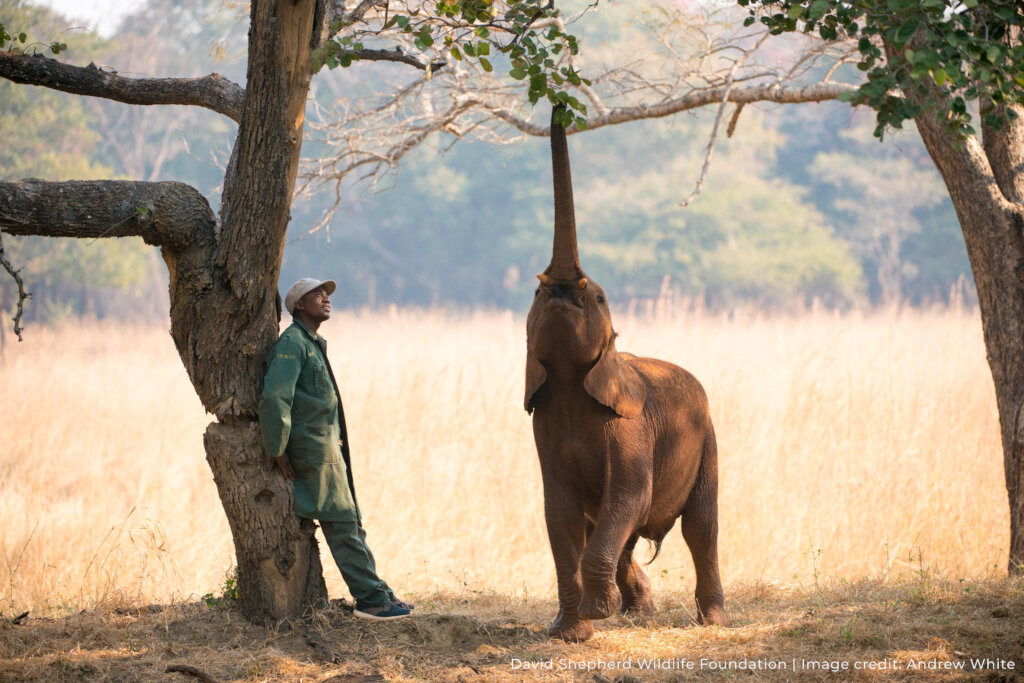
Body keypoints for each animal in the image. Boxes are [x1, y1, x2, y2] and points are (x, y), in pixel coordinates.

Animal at [524, 106, 729, 643]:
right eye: (537, 294)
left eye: (596, 297)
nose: (557, 105)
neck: (574, 383)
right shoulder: (543, 423)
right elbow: (560, 510)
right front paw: (570, 632)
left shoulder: (629, 426)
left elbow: (630, 496)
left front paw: (597, 612)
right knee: (622, 531)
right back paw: (640, 607)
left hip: (708, 439)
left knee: (700, 525)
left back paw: (712, 621)